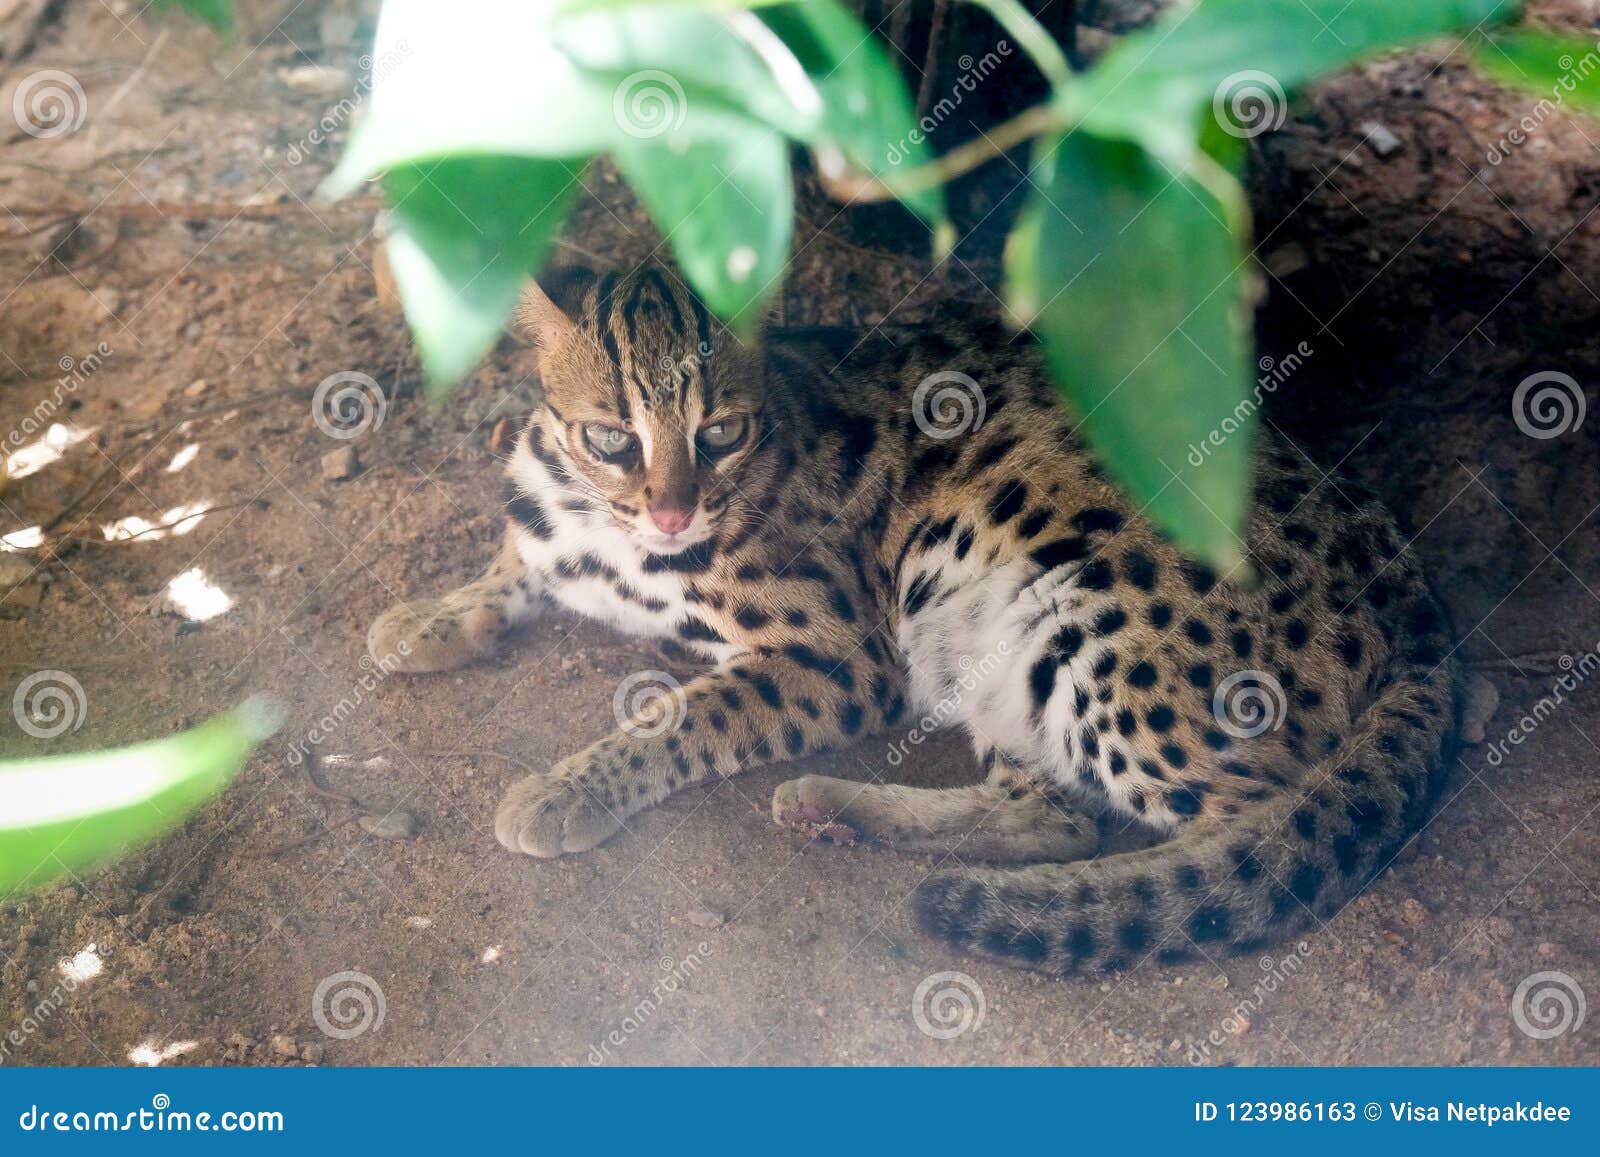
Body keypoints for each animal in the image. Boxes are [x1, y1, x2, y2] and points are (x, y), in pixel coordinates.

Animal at [366, 263, 1461, 973]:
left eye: (721, 432)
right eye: (610, 436)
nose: (674, 511)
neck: (601, 520)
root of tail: (1412, 593)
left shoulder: (841, 654)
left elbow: (676, 714)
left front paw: (567, 788)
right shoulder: (549, 520)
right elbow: (510, 563)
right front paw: (426, 616)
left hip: (1069, 608)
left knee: (1249, 832)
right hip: (1010, 652)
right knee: (1050, 810)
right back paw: (842, 809)